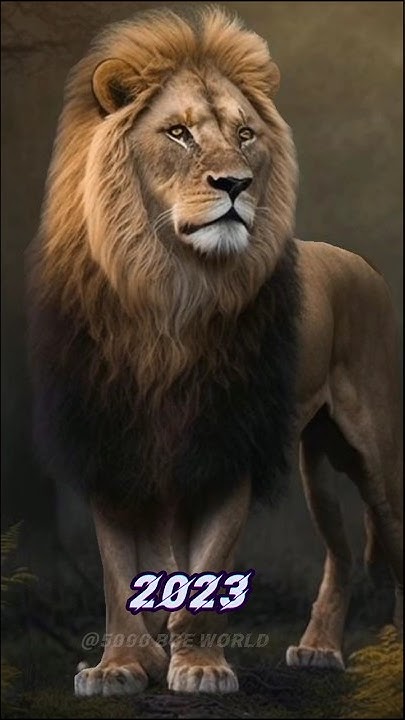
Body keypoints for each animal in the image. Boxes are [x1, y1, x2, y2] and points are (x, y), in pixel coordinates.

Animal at [27, 7, 402, 696]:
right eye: (177, 133)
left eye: (246, 133)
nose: (236, 183)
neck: (171, 290)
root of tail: (357, 262)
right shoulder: (111, 443)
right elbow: (119, 574)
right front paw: (121, 666)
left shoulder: (227, 442)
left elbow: (207, 568)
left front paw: (199, 666)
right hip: (314, 464)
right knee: (339, 553)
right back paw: (317, 649)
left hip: (376, 454)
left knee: (393, 541)